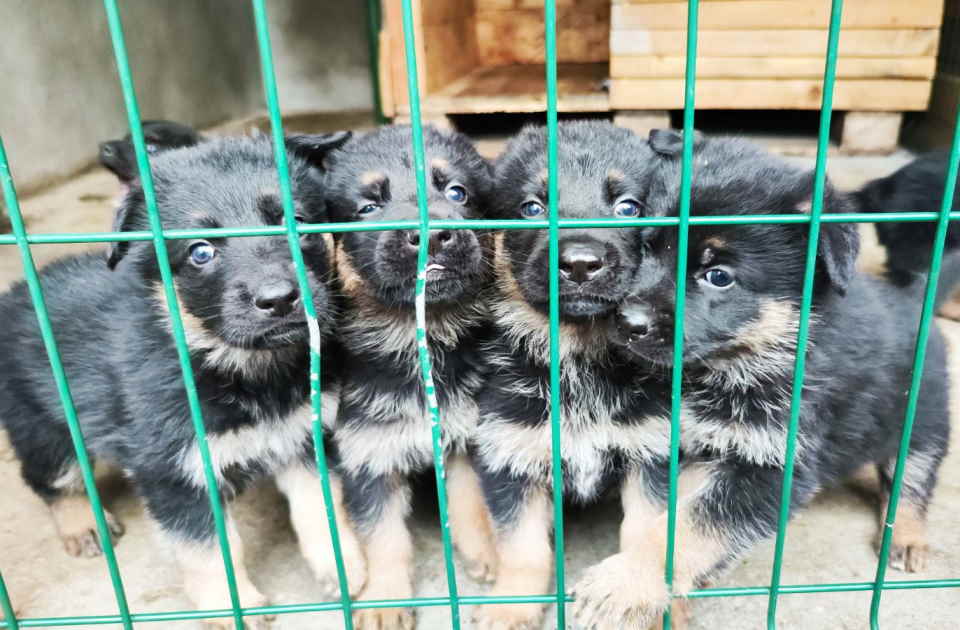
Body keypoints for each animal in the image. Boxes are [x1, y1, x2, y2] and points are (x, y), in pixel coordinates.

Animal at [326, 124, 498, 630]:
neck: (419, 338)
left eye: (457, 192)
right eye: (367, 207)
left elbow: (468, 500)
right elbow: (383, 537)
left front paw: (485, 551)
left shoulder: (462, 435)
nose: (433, 239)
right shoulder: (367, 458)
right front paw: (386, 599)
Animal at [468, 122, 672, 630]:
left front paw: (644, 600)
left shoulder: (652, 453)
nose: (580, 263)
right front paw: (510, 607)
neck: (581, 359)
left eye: (628, 207)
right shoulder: (509, 458)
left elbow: (647, 535)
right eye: (532, 207)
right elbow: (523, 550)